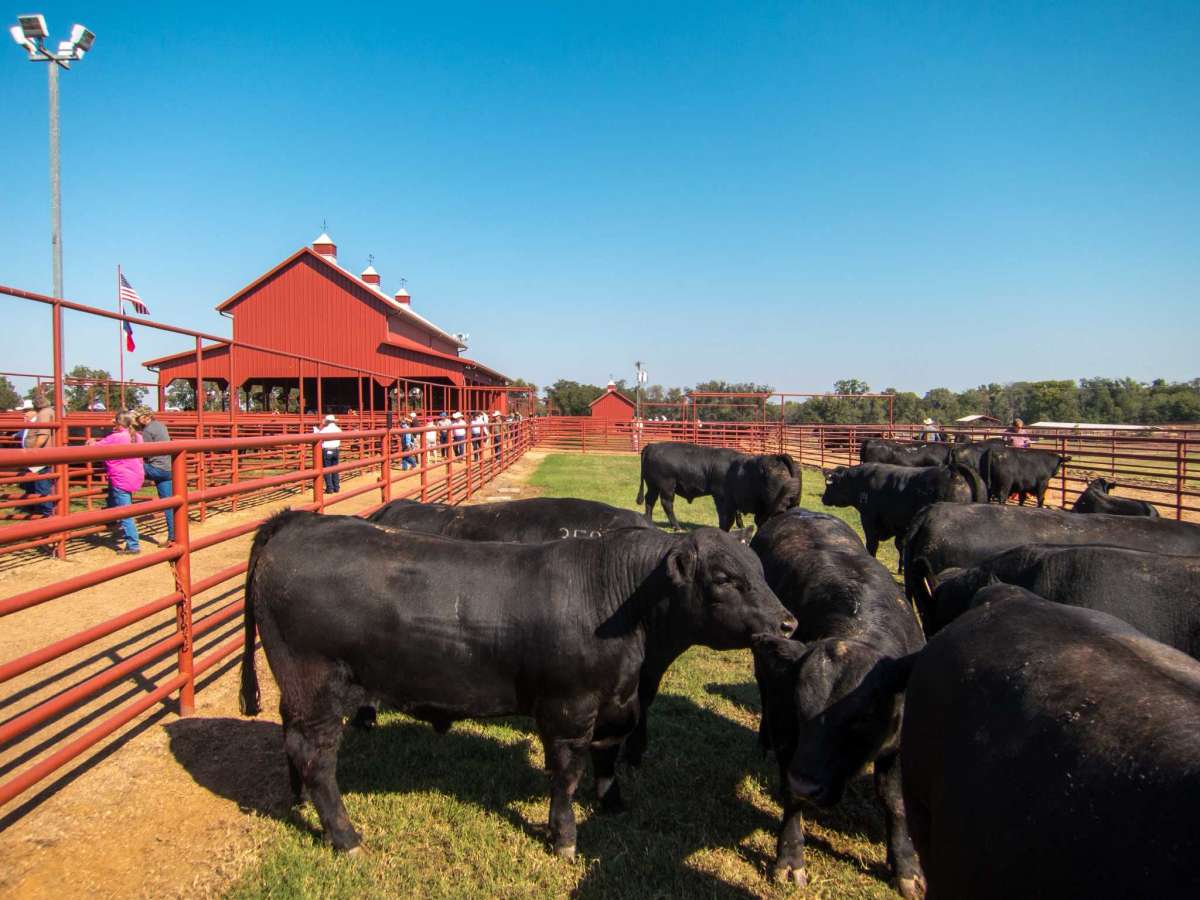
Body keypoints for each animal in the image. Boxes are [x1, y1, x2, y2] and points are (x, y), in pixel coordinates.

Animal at [239, 510, 796, 857]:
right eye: (724, 579)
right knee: (317, 757)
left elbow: (608, 756)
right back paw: (345, 835)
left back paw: (299, 802)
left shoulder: (618, 703)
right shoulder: (568, 709)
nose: (788, 623)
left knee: (291, 740)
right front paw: (565, 835)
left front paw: (612, 803)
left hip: (297, 693)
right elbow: (567, 773)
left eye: (759, 568)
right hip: (317, 686)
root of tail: (298, 520)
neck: (614, 598)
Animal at [635, 441, 800, 532]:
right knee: (666, 504)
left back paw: (649, 520)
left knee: (650, 501)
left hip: (653, 486)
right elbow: (727, 516)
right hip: (667, 486)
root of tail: (652, 446)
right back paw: (677, 527)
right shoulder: (722, 498)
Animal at [749, 511, 925, 896]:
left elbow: (895, 801)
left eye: (863, 717)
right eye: (799, 708)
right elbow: (790, 794)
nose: (808, 785)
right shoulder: (787, 729)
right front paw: (790, 860)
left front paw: (906, 868)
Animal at [820, 463, 986, 566]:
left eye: (830, 485)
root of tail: (952, 470)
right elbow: (900, 545)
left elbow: (872, 544)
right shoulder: (900, 526)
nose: (823, 499)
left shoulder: (869, 520)